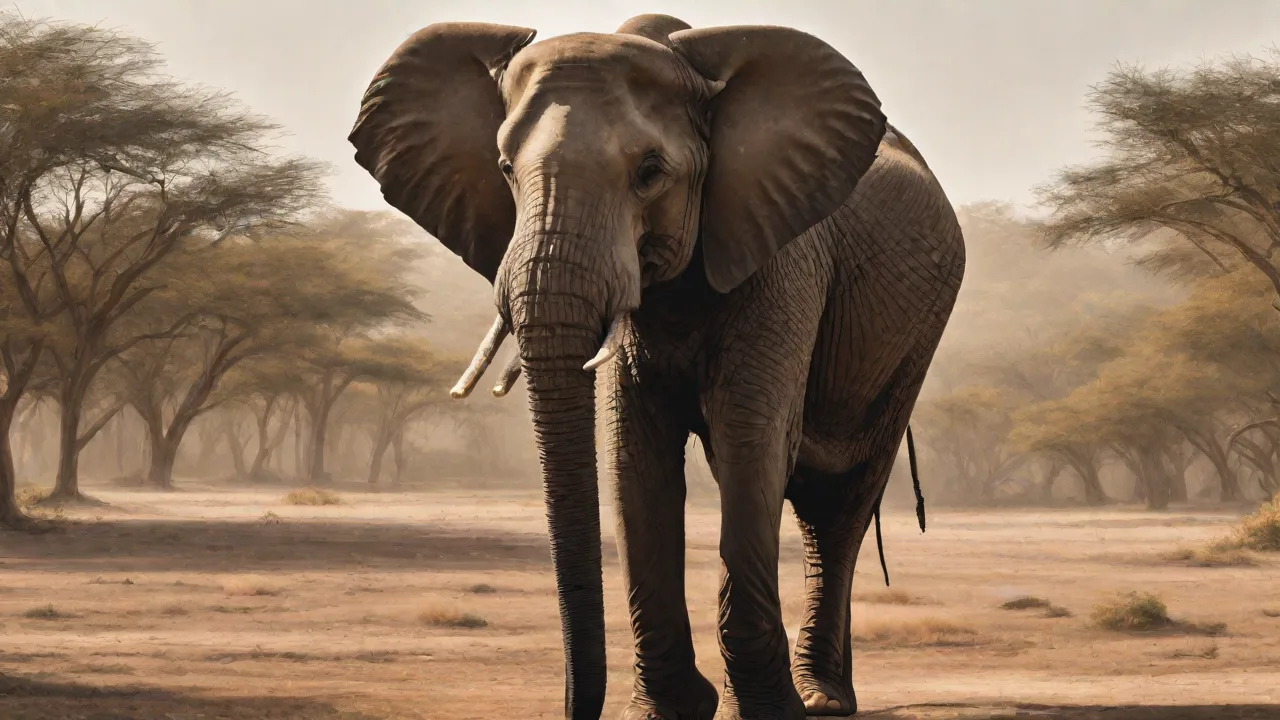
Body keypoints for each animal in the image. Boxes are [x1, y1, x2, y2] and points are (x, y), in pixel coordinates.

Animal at [349, 13, 965, 720]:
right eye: (504, 168)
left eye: (649, 172)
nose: (572, 706)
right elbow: (634, 455)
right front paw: (668, 710)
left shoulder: (783, 258)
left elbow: (750, 442)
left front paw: (760, 710)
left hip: (914, 342)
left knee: (838, 504)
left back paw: (823, 698)